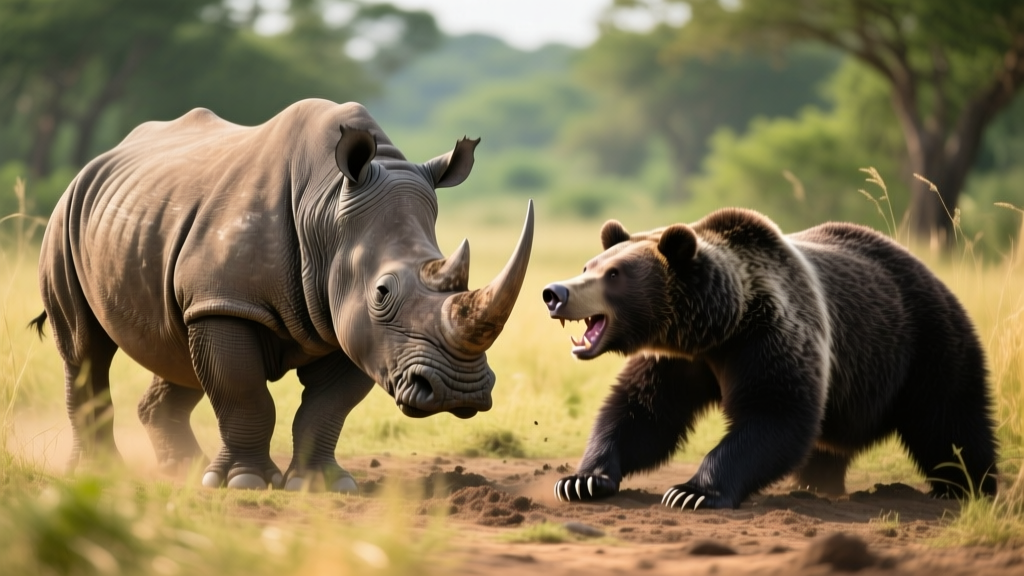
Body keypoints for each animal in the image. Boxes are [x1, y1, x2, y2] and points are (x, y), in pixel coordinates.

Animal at [32, 99, 534, 491]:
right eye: (382, 292)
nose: (459, 393)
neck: (327, 212)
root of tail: (101, 160)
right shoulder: (230, 304)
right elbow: (243, 393)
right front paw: (244, 482)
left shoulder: (350, 328)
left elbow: (327, 407)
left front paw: (322, 484)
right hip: (65, 217)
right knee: (84, 350)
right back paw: (99, 473)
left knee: (176, 349)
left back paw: (186, 472)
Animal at [541, 207, 998, 509]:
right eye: (589, 265)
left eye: (614, 274)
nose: (554, 292)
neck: (718, 326)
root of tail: (931, 274)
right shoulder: (678, 360)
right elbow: (642, 412)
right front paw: (582, 480)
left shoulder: (768, 337)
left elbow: (774, 413)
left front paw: (691, 492)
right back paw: (818, 483)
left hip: (927, 343)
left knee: (951, 419)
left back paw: (968, 487)